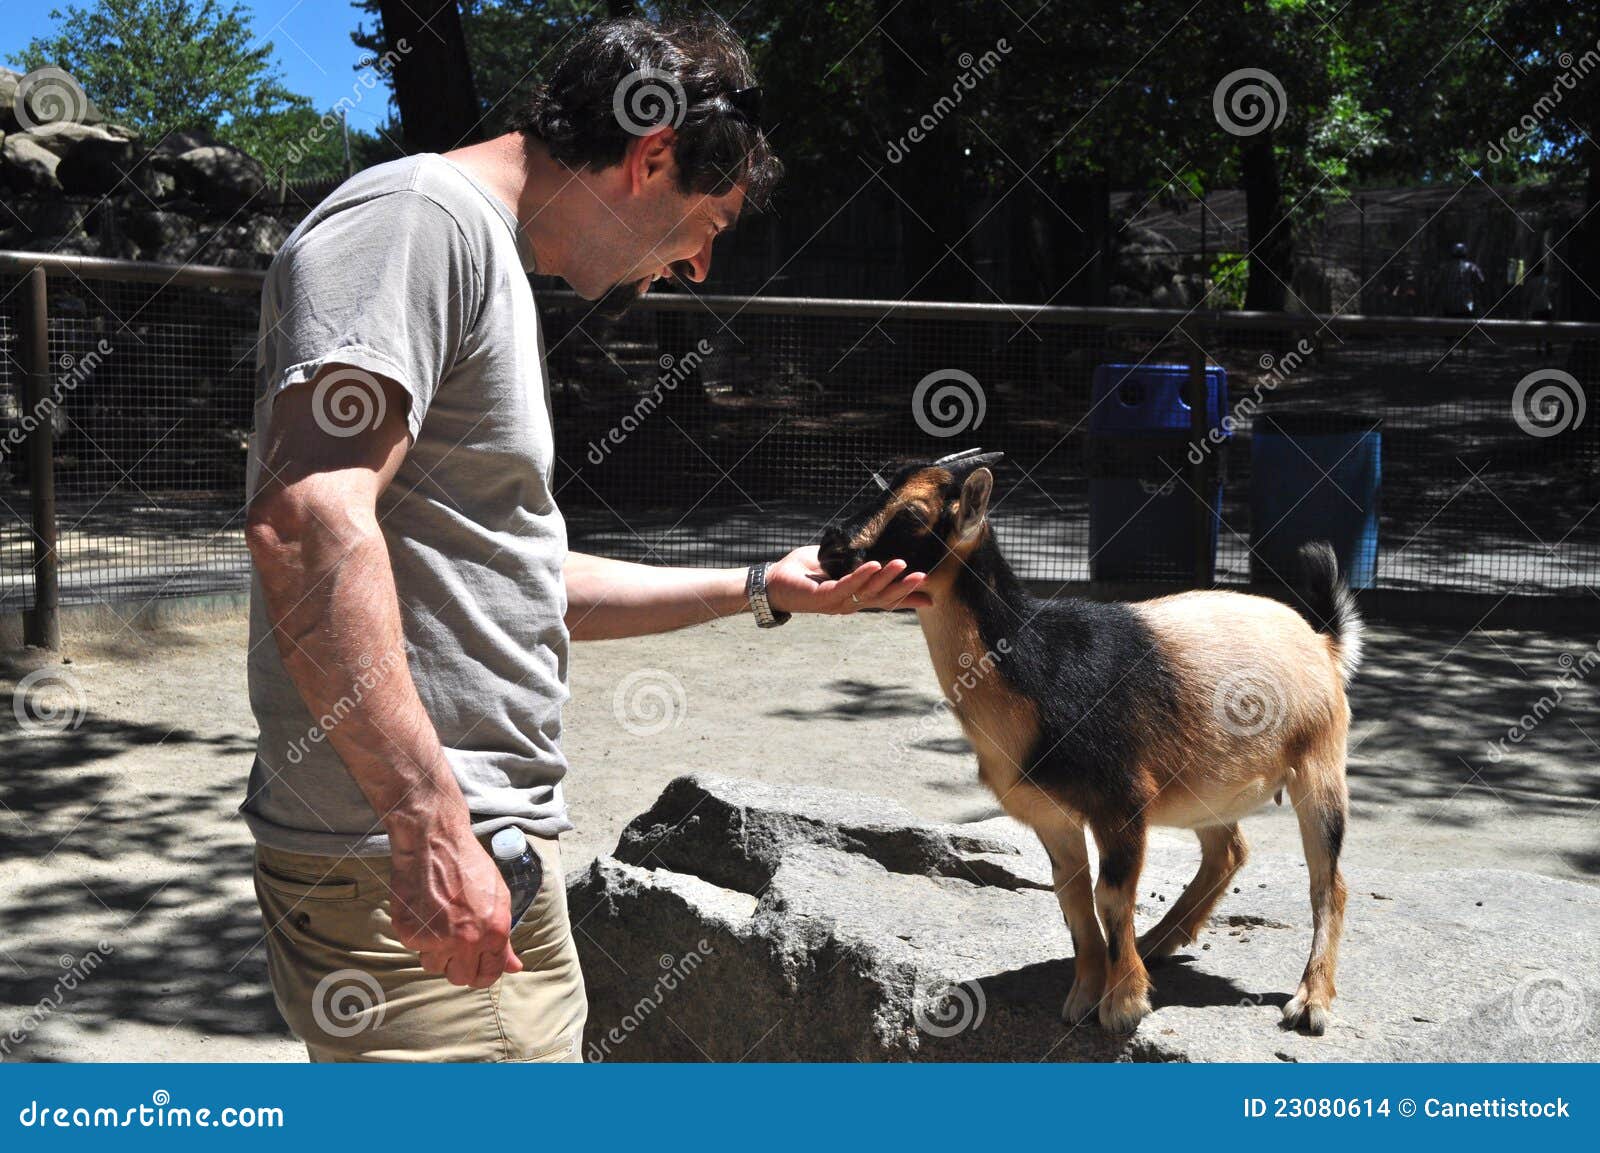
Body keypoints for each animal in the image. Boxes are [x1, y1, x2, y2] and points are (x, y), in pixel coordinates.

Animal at [818, 449, 1361, 1035]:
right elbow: (1074, 900)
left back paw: (1310, 1003)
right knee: (1229, 851)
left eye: (914, 514)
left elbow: (1111, 897)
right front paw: (1084, 995)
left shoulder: (1120, 803)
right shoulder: (1051, 814)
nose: (830, 547)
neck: (1035, 662)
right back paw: (1157, 944)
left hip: (1320, 766)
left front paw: (1123, 1006)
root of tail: (1324, 641)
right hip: (1208, 789)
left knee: (1328, 882)